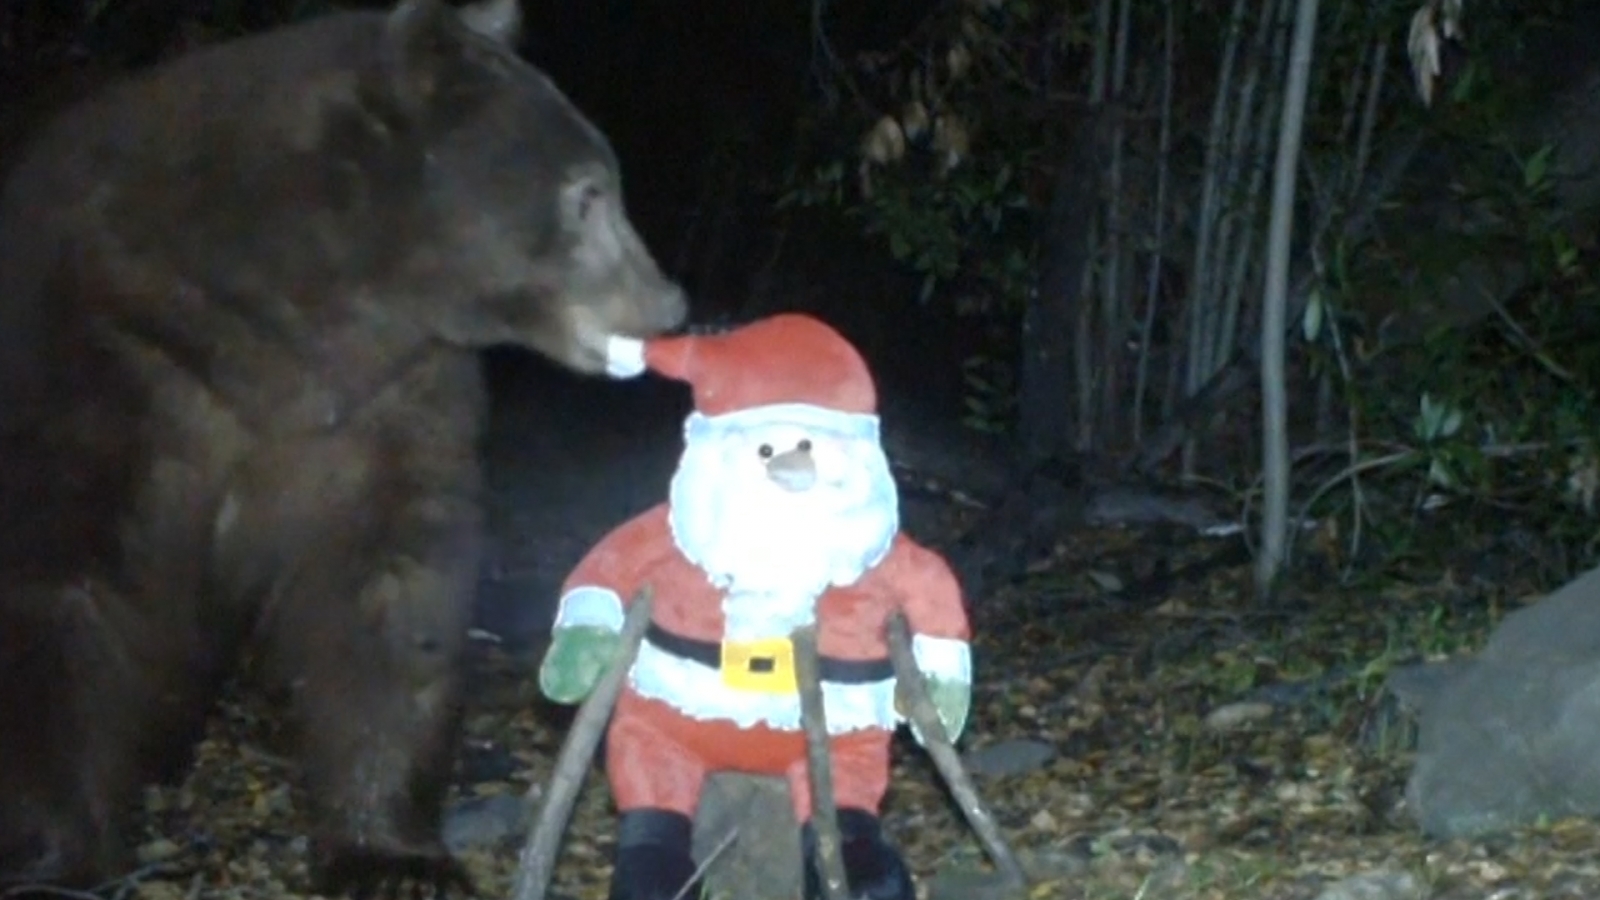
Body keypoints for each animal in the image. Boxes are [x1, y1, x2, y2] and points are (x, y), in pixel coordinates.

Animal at [0, 0, 687, 894]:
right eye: (587, 195)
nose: (668, 304)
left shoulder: (384, 403)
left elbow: (388, 586)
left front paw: (394, 854)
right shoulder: (100, 366)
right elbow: (59, 586)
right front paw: (50, 849)